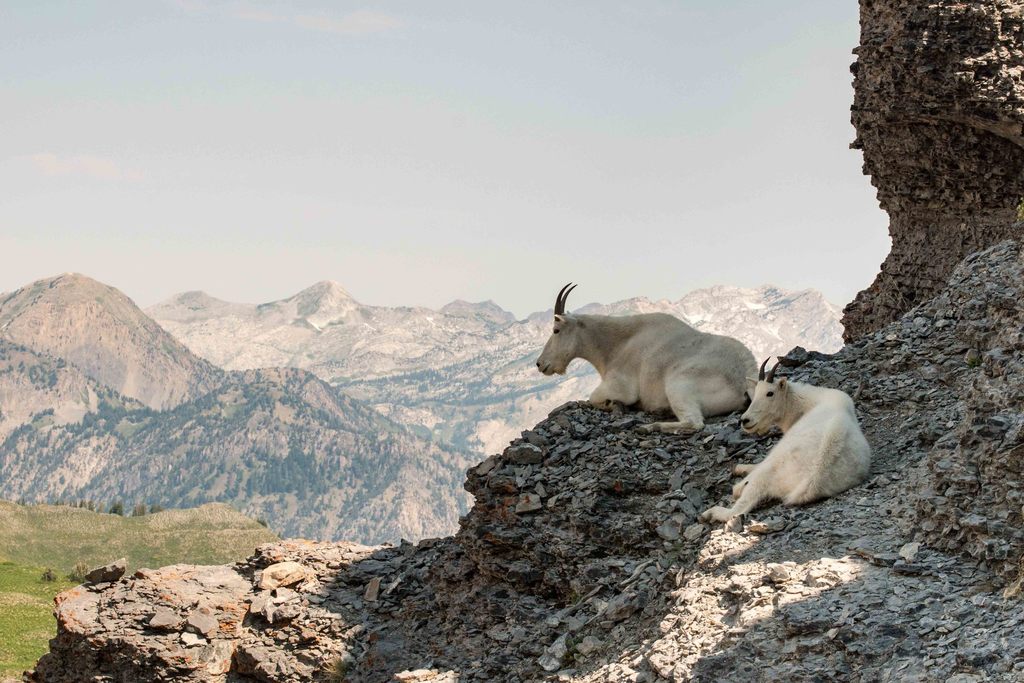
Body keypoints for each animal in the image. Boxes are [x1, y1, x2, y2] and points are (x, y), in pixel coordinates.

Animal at [535, 283, 756, 433]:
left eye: (556, 330)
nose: (540, 364)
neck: (616, 345)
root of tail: (746, 378)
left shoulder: (620, 387)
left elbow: (595, 398)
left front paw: (615, 405)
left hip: (679, 385)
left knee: (694, 423)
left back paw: (650, 426)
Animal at [700, 359, 871, 523]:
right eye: (756, 392)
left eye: (770, 393)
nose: (745, 420)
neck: (810, 402)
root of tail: (816, 474)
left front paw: (740, 469)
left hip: (774, 464)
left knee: (740, 503)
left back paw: (712, 511)